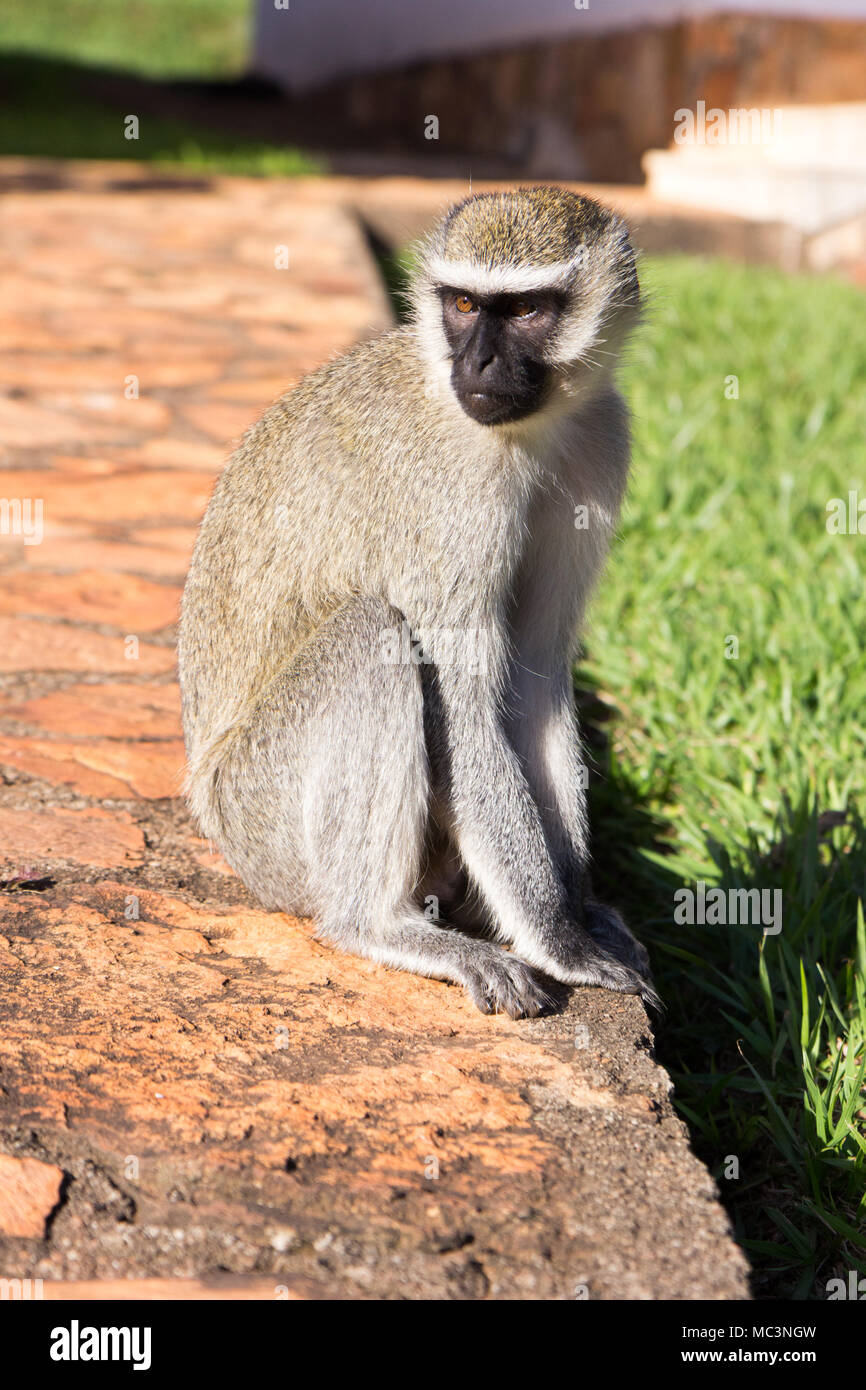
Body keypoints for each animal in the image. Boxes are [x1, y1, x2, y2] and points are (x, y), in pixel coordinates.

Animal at [178, 185, 658, 1019]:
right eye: (463, 304)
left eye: (525, 309)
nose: (480, 360)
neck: (531, 433)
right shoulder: (450, 495)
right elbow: (465, 700)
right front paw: (559, 939)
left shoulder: (604, 436)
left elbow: (534, 675)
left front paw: (578, 906)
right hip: (261, 823)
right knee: (370, 632)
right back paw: (373, 926)